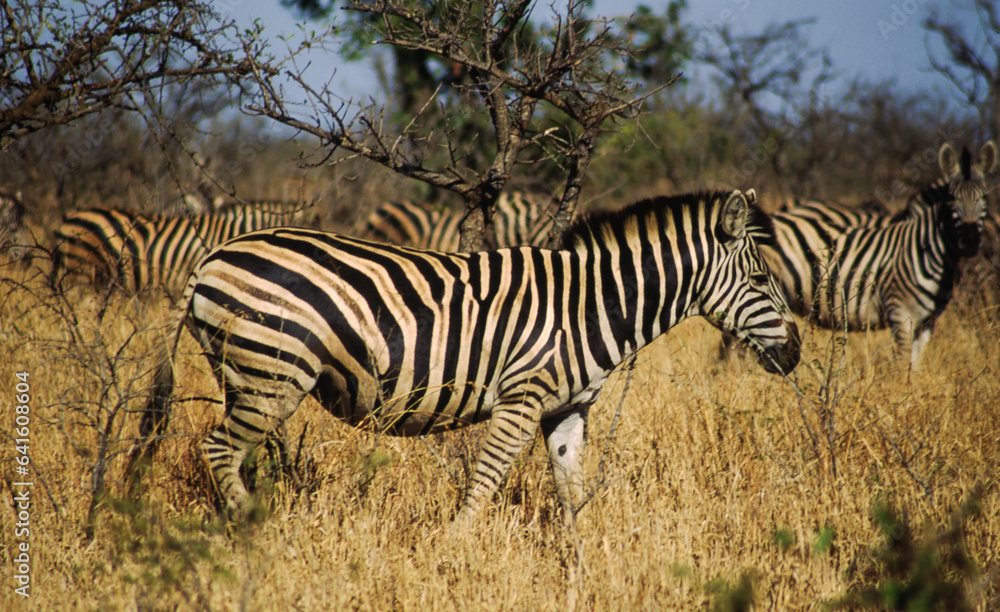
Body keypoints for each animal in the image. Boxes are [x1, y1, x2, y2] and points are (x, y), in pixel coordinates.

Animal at [127, 189, 800, 527]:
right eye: (762, 280)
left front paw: (583, 564)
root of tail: (213, 256)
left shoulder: (567, 410)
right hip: (274, 372)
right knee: (219, 449)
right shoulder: (522, 397)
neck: (591, 305)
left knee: (234, 451)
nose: (795, 353)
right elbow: (485, 482)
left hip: (247, 372)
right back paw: (259, 532)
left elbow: (573, 494)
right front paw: (456, 547)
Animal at [756, 141, 996, 365]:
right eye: (951, 200)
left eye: (985, 198)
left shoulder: (927, 322)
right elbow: (902, 365)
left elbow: (915, 367)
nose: (970, 242)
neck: (929, 249)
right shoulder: (900, 313)